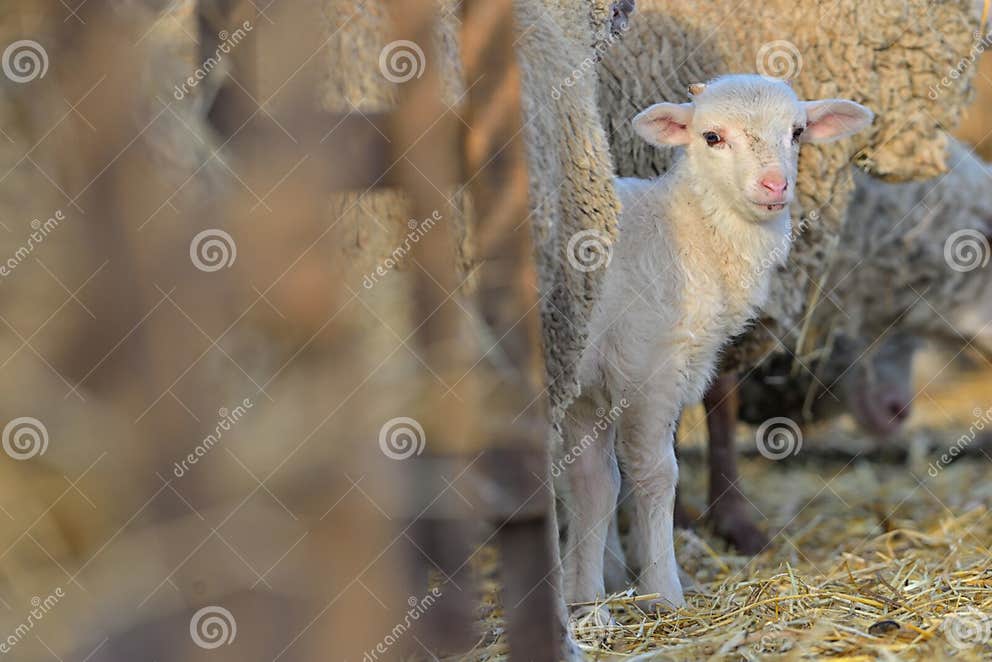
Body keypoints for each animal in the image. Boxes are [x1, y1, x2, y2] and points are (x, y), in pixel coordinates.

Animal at [560, 74, 873, 615]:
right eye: (711, 137)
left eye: (797, 132)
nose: (775, 185)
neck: (690, 231)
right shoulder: (647, 369)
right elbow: (654, 476)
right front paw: (663, 592)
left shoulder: (593, 383)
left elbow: (594, 484)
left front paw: (589, 601)